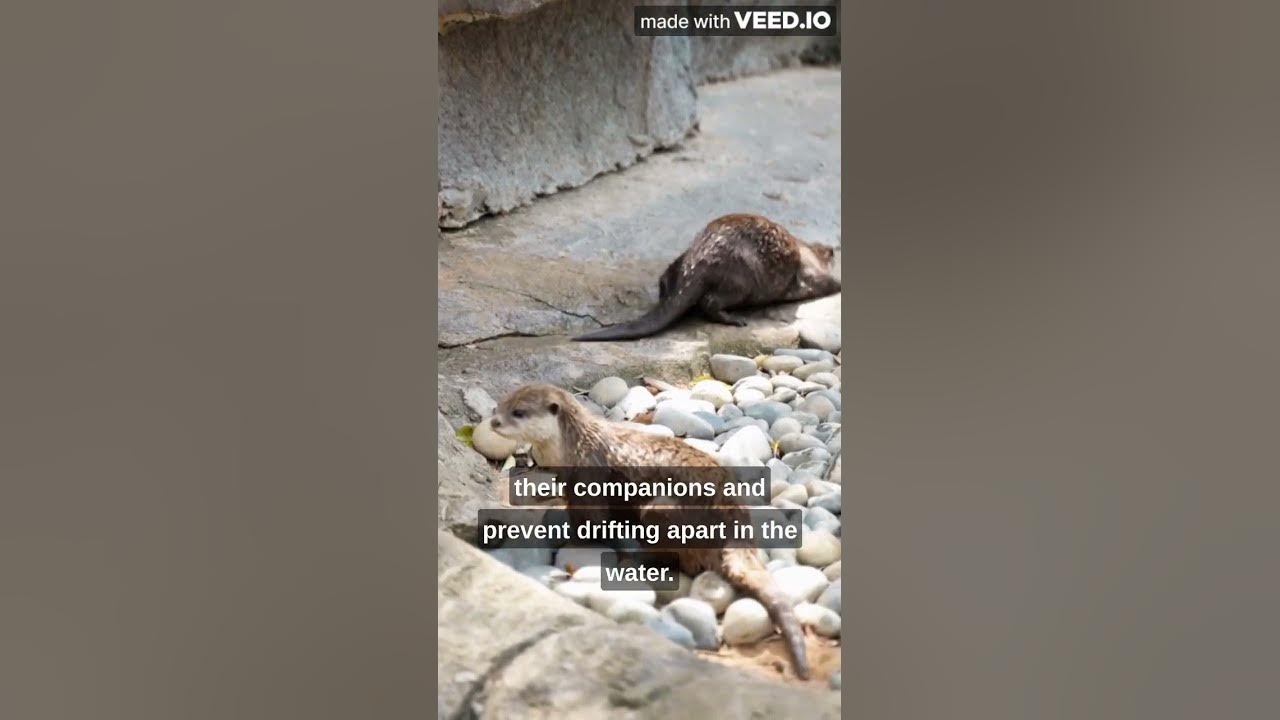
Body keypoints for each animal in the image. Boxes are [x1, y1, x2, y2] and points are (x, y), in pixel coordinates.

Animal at [491, 382, 811, 680]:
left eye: (518, 412)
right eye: (500, 404)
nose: (494, 422)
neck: (573, 447)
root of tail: (735, 520)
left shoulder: (590, 479)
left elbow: (590, 524)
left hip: (661, 510)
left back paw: (639, 561)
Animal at [573, 214, 840, 342]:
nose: (831, 249)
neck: (806, 250)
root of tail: (698, 260)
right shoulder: (810, 271)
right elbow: (824, 281)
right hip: (743, 277)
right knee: (710, 301)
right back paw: (735, 320)